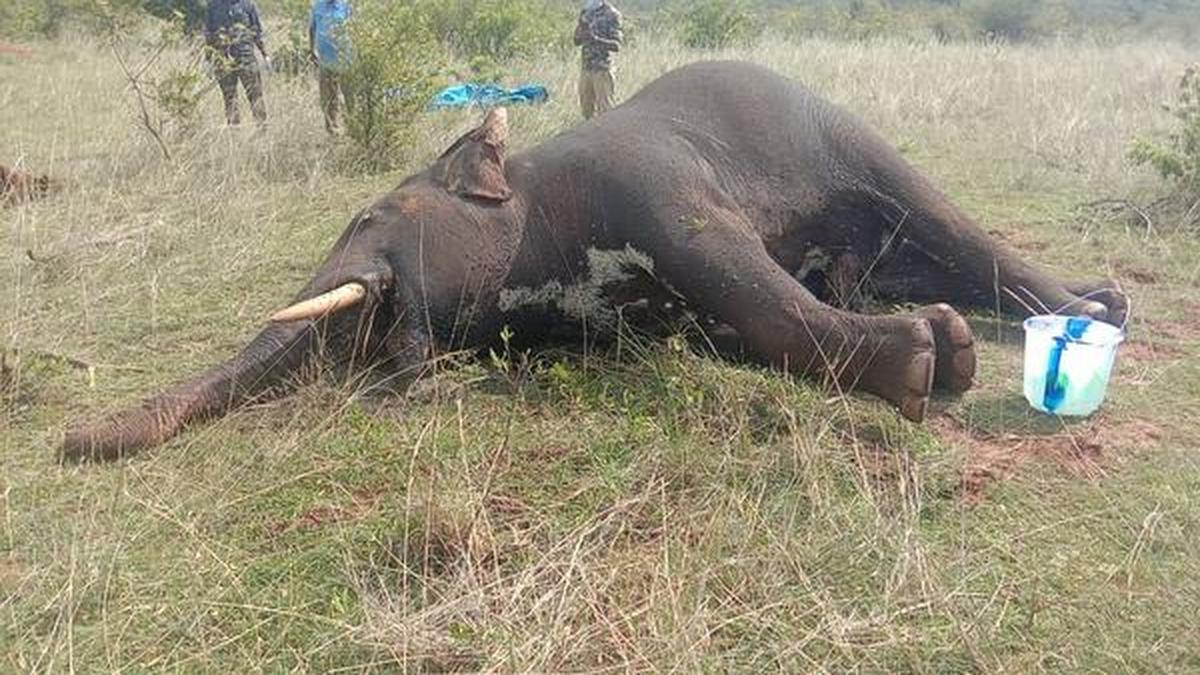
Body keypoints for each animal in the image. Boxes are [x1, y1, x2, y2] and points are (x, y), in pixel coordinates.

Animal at [62, 61, 1127, 461]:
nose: (70, 438)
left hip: (849, 136)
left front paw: (931, 363)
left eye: (367, 213)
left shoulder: (644, 181)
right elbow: (733, 317)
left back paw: (1095, 309)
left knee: (950, 223)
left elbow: (740, 275)